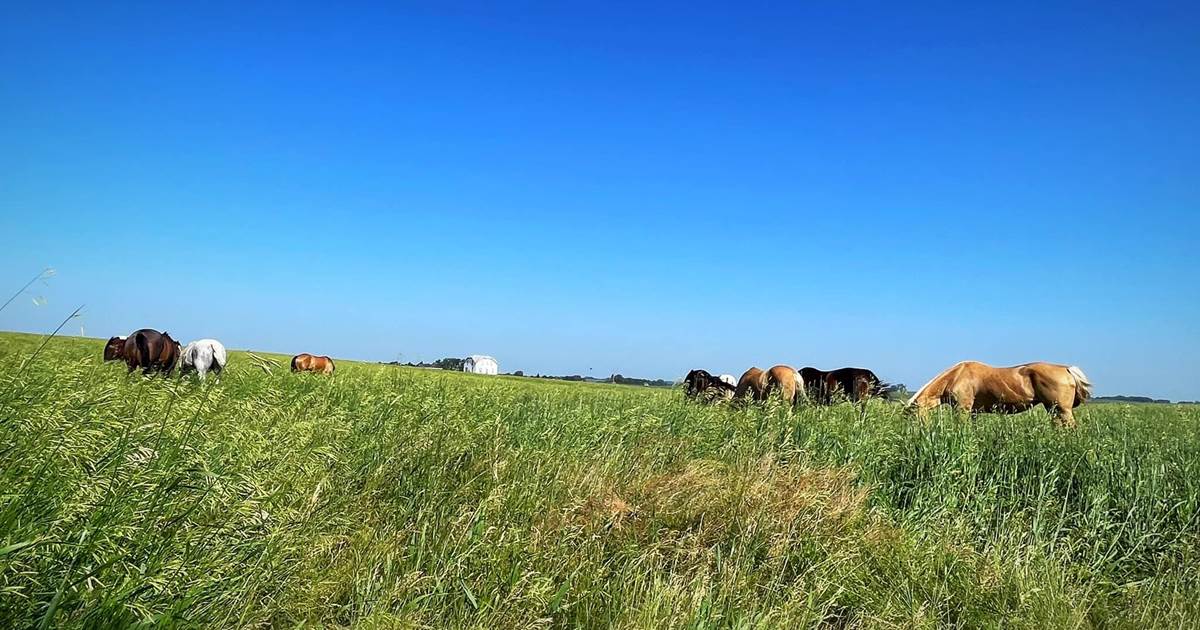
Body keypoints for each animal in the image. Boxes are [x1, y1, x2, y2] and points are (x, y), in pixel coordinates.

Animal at [906, 361, 1092, 427]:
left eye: (912, 414)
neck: (956, 376)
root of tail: (1066, 369)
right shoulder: (973, 412)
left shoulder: (962, 409)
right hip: (1053, 409)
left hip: (1062, 410)